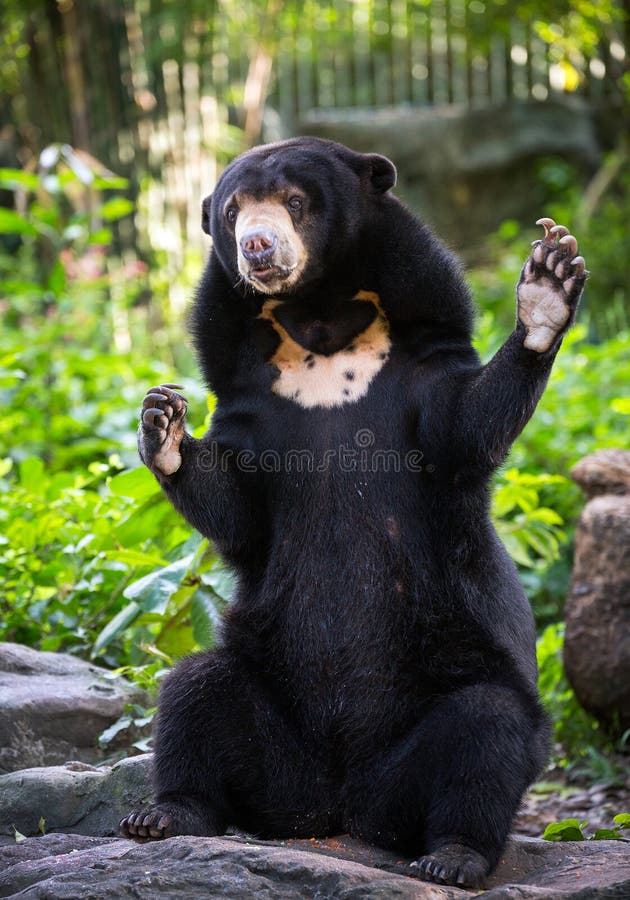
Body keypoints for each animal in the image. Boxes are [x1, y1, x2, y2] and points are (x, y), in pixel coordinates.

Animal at [119, 137, 587, 887]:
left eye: (294, 202)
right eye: (233, 210)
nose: (256, 247)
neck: (319, 320)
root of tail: (340, 809)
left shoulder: (421, 362)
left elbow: (466, 424)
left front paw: (548, 282)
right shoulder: (250, 395)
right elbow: (240, 504)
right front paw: (162, 424)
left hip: (448, 694)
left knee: (485, 731)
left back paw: (451, 856)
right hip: (273, 716)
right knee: (196, 689)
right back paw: (163, 815)